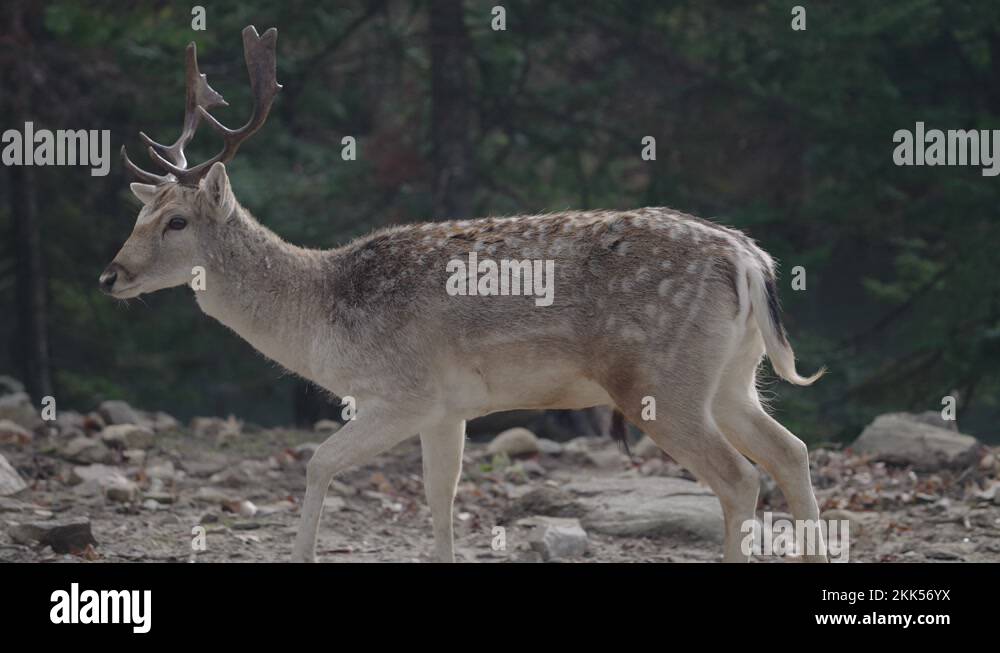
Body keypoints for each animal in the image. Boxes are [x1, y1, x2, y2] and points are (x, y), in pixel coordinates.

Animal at [102, 26, 827, 563]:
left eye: (176, 221)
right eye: (139, 213)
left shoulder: (405, 390)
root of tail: (749, 259)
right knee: (791, 451)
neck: (323, 320)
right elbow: (440, 497)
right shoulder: (448, 409)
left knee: (739, 476)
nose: (111, 274)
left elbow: (317, 462)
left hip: (658, 378)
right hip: (730, 376)